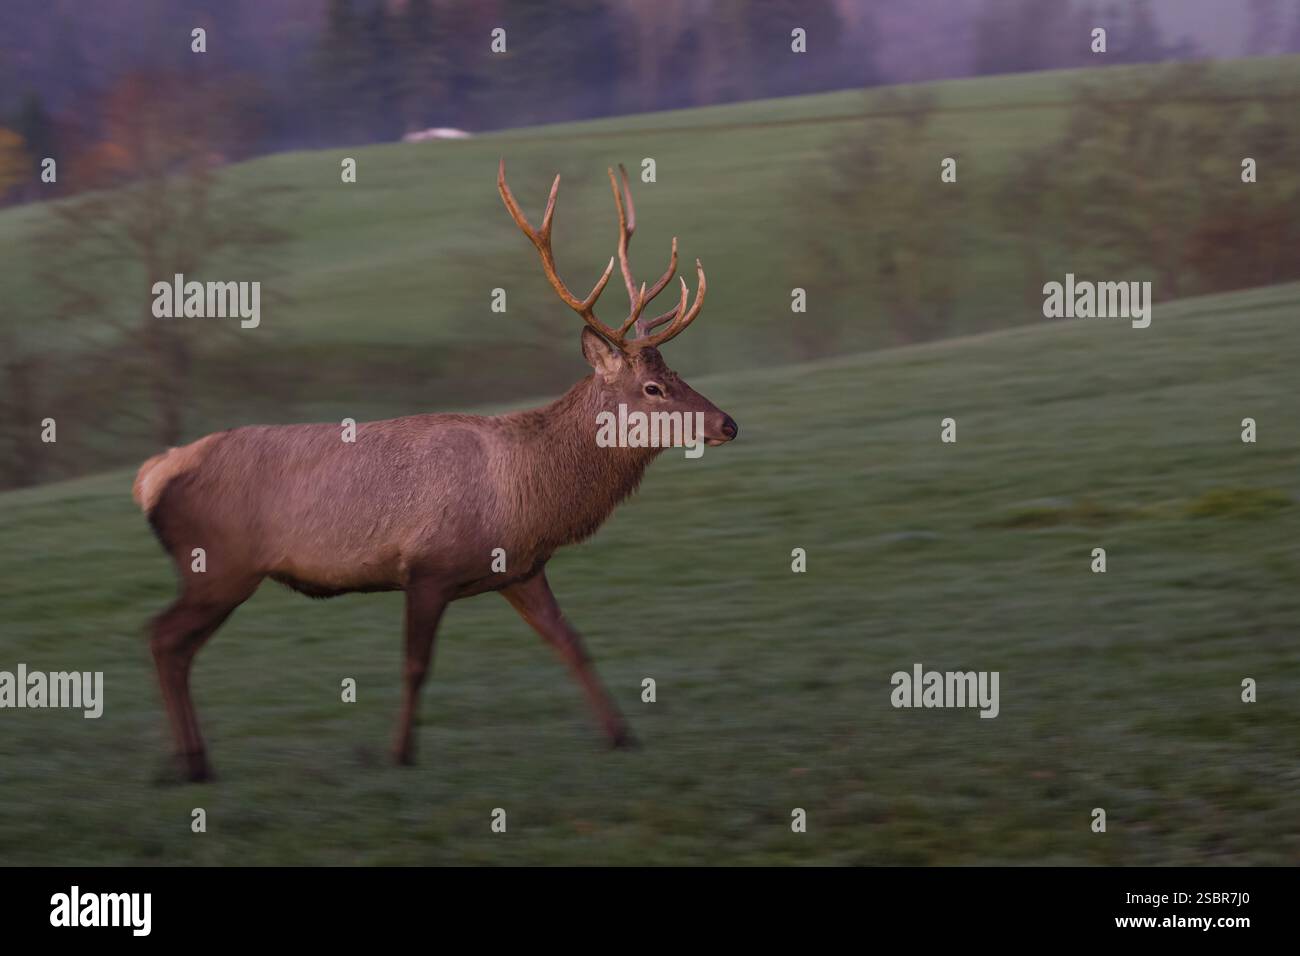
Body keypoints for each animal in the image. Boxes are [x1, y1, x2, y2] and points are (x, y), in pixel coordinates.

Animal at [133, 160, 739, 782]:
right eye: (653, 388)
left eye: (676, 374)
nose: (728, 424)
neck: (530, 496)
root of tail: (151, 475)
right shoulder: (427, 568)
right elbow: (415, 665)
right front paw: (399, 753)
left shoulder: (521, 572)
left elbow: (571, 642)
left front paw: (622, 736)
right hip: (219, 565)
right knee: (162, 637)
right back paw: (192, 762)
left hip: (219, 572)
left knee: (174, 644)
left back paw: (191, 759)